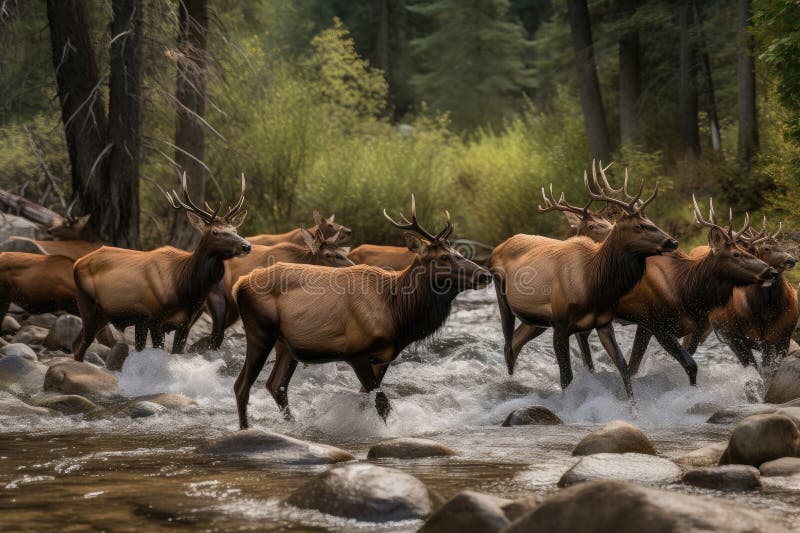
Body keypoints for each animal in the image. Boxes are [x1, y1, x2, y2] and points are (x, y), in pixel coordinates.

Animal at [71, 174, 250, 359]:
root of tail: (77, 263)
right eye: (215, 232)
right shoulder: (155, 319)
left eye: (235, 230)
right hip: (87, 304)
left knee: (76, 343)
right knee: (79, 348)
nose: (246, 246)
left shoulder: (184, 324)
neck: (187, 289)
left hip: (104, 315)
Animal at [201, 227, 354, 349]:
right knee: (213, 337)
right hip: (218, 300)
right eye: (328, 254)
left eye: (341, 250)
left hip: (231, 310)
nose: (352, 265)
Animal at [232, 195, 492, 428]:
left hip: (285, 344)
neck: (398, 313)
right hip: (259, 332)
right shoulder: (355, 352)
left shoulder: (384, 356)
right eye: (444, 256)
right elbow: (382, 404)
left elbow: (365, 401)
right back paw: (245, 429)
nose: (485, 275)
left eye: (459, 253)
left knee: (276, 385)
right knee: (242, 385)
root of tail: (239, 284)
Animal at [491, 162, 678, 398]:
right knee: (507, 345)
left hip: (535, 320)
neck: (594, 286)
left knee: (515, 342)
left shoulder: (604, 323)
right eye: (639, 226)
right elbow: (566, 378)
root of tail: (497, 248)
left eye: (651, 221)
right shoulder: (560, 324)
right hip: (504, 299)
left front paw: (632, 404)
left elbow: (623, 367)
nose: (672, 242)